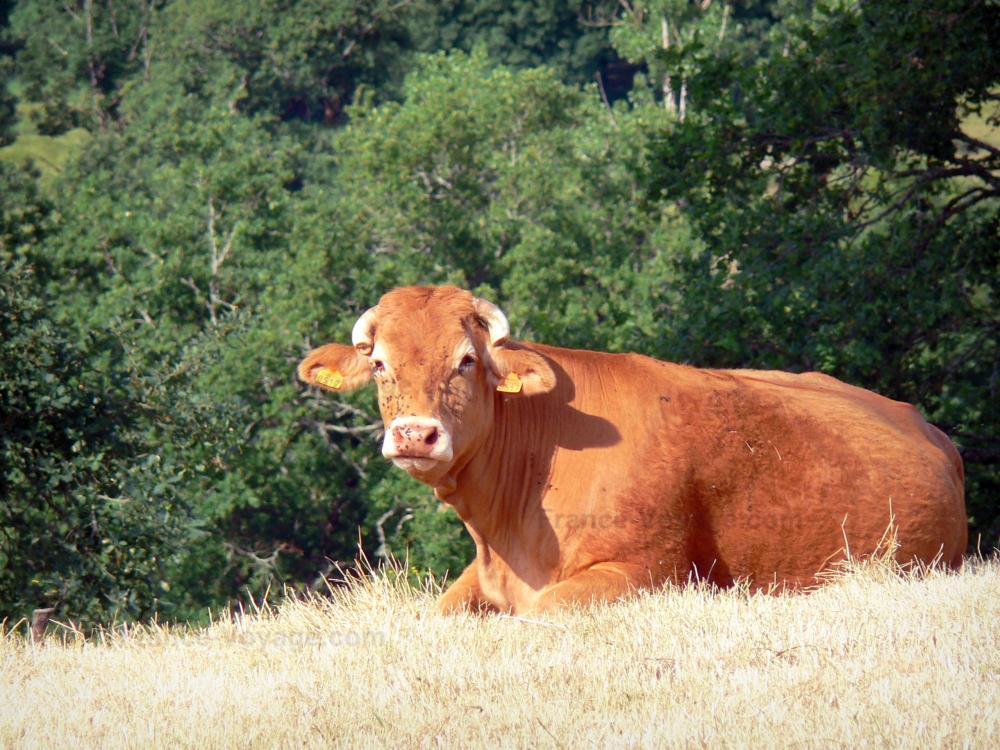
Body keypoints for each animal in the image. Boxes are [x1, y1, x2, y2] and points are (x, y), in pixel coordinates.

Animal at [298, 285, 967, 614]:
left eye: (466, 360)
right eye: (379, 365)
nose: (415, 434)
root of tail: (921, 423)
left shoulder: (648, 571)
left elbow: (545, 611)